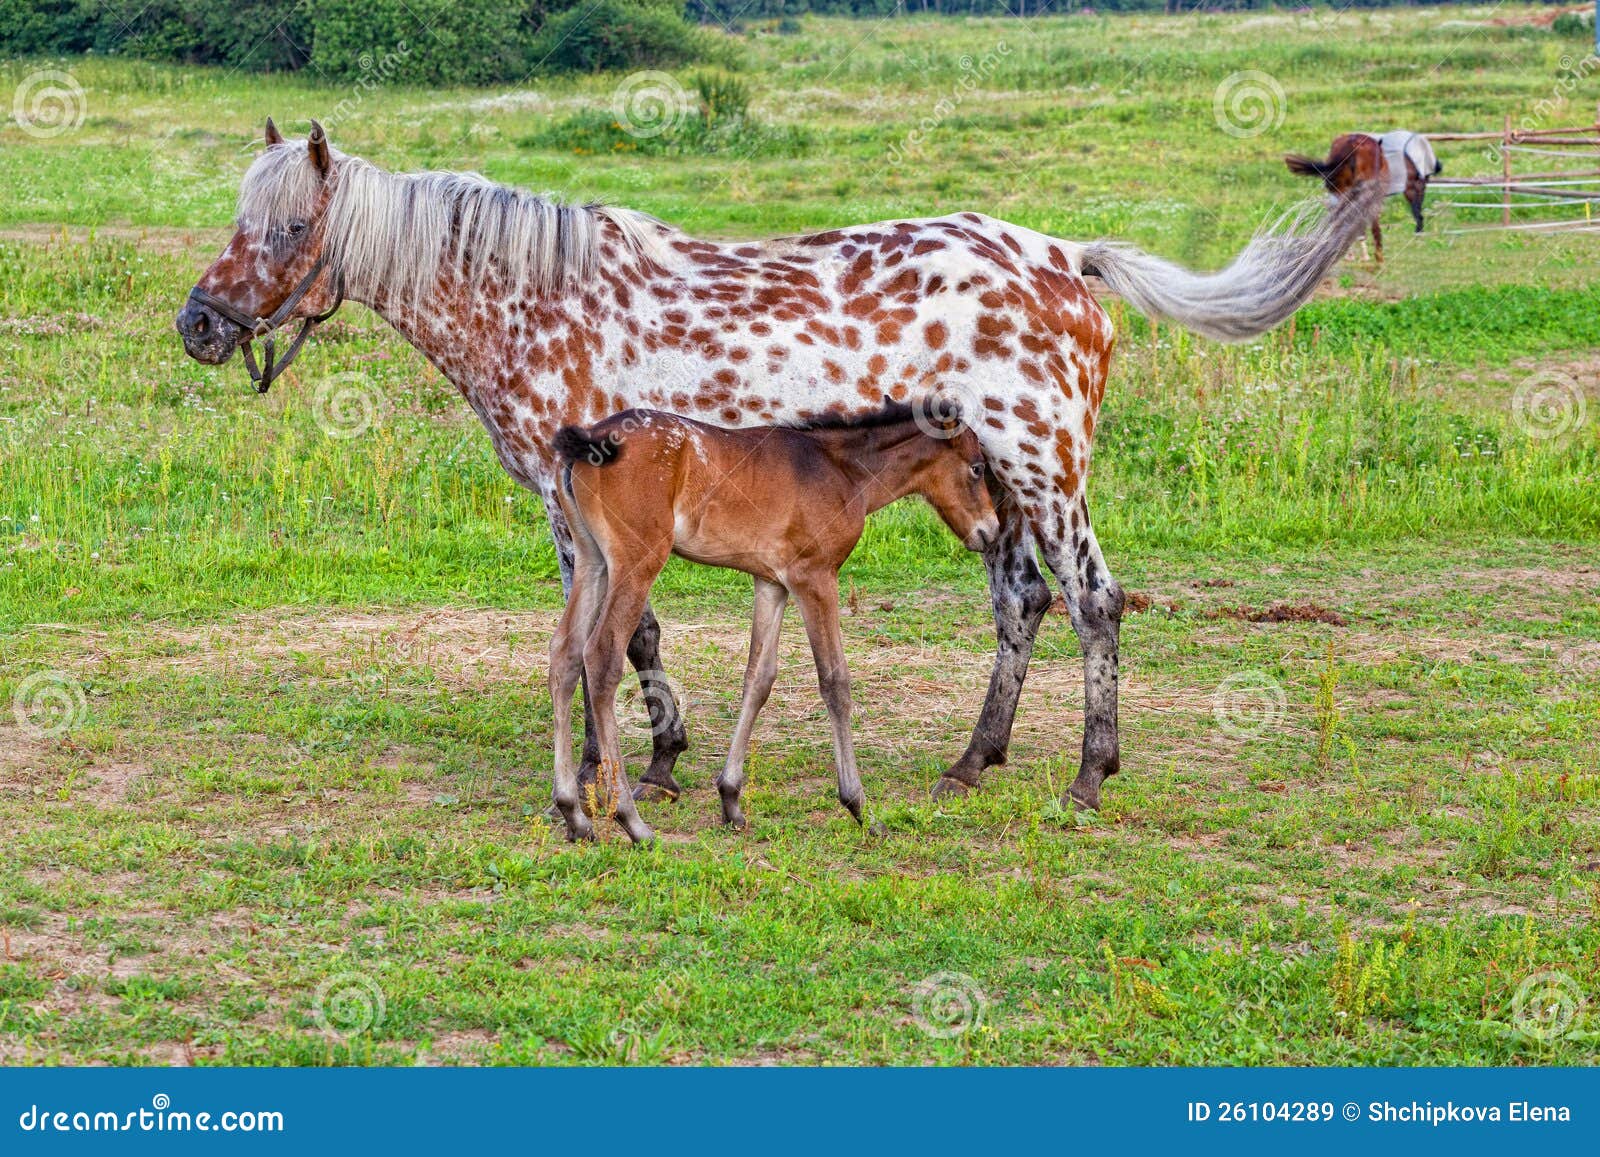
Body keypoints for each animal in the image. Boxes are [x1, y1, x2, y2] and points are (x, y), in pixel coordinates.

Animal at [547, 402, 999, 843]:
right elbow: (835, 681)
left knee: (565, 654)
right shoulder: (814, 577)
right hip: (637, 561)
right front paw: (860, 808)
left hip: (591, 559)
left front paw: (731, 800)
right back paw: (631, 820)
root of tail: (592, 438)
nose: (991, 532)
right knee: (601, 656)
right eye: (977, 468)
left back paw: (574, 814)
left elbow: (758, 677)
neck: (841, 469)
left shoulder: (771, 583)